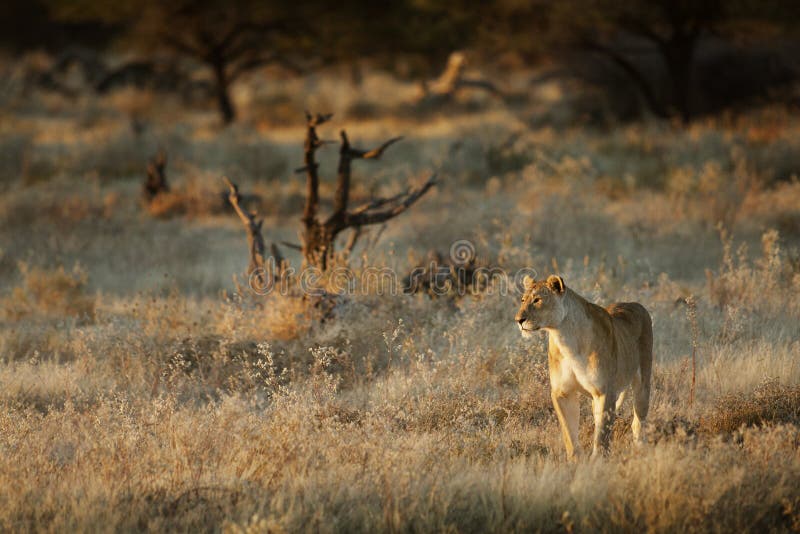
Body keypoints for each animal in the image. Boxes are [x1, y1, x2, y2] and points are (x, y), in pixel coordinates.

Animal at [515, 275, 652, 459]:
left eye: (537, 300)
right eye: (523, 300)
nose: (518, 320)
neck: (565, 337)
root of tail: (635, 304)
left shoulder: (605, 392)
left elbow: (601, 436)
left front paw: (597, 461)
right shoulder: (562, 393)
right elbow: (569, 432)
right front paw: (575, 460)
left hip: (643, 384)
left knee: (638, 422)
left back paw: (639, 451)